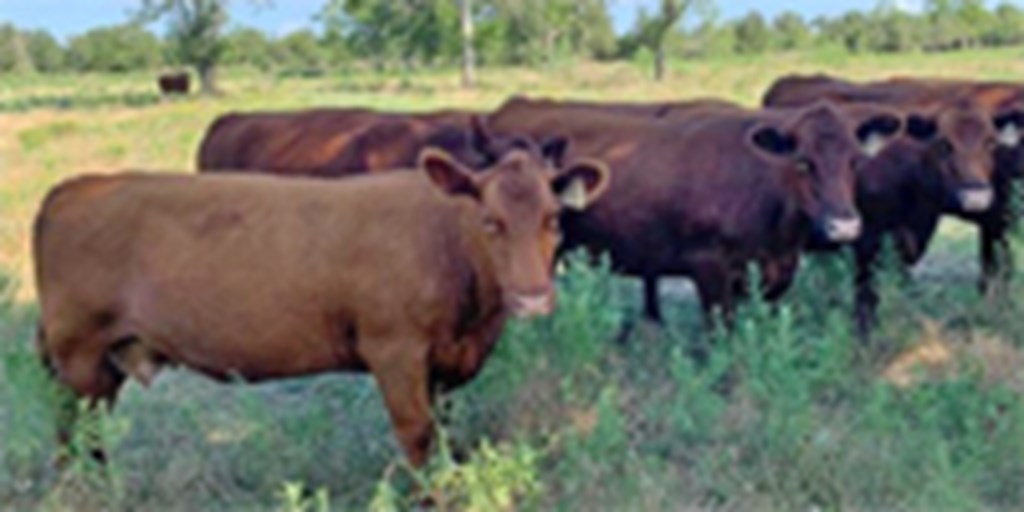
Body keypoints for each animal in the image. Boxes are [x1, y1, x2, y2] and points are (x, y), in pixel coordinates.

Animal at [32, 147, 611, 467]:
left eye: (554, 219)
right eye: (490, 221)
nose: (533, 297)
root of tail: (77, 187)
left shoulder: (444, 367)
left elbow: (446, 432)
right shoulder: (395, 352)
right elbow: (419, 437)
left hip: (104, 361)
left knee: (88, 435)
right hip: (79, 354)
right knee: (71, 432)